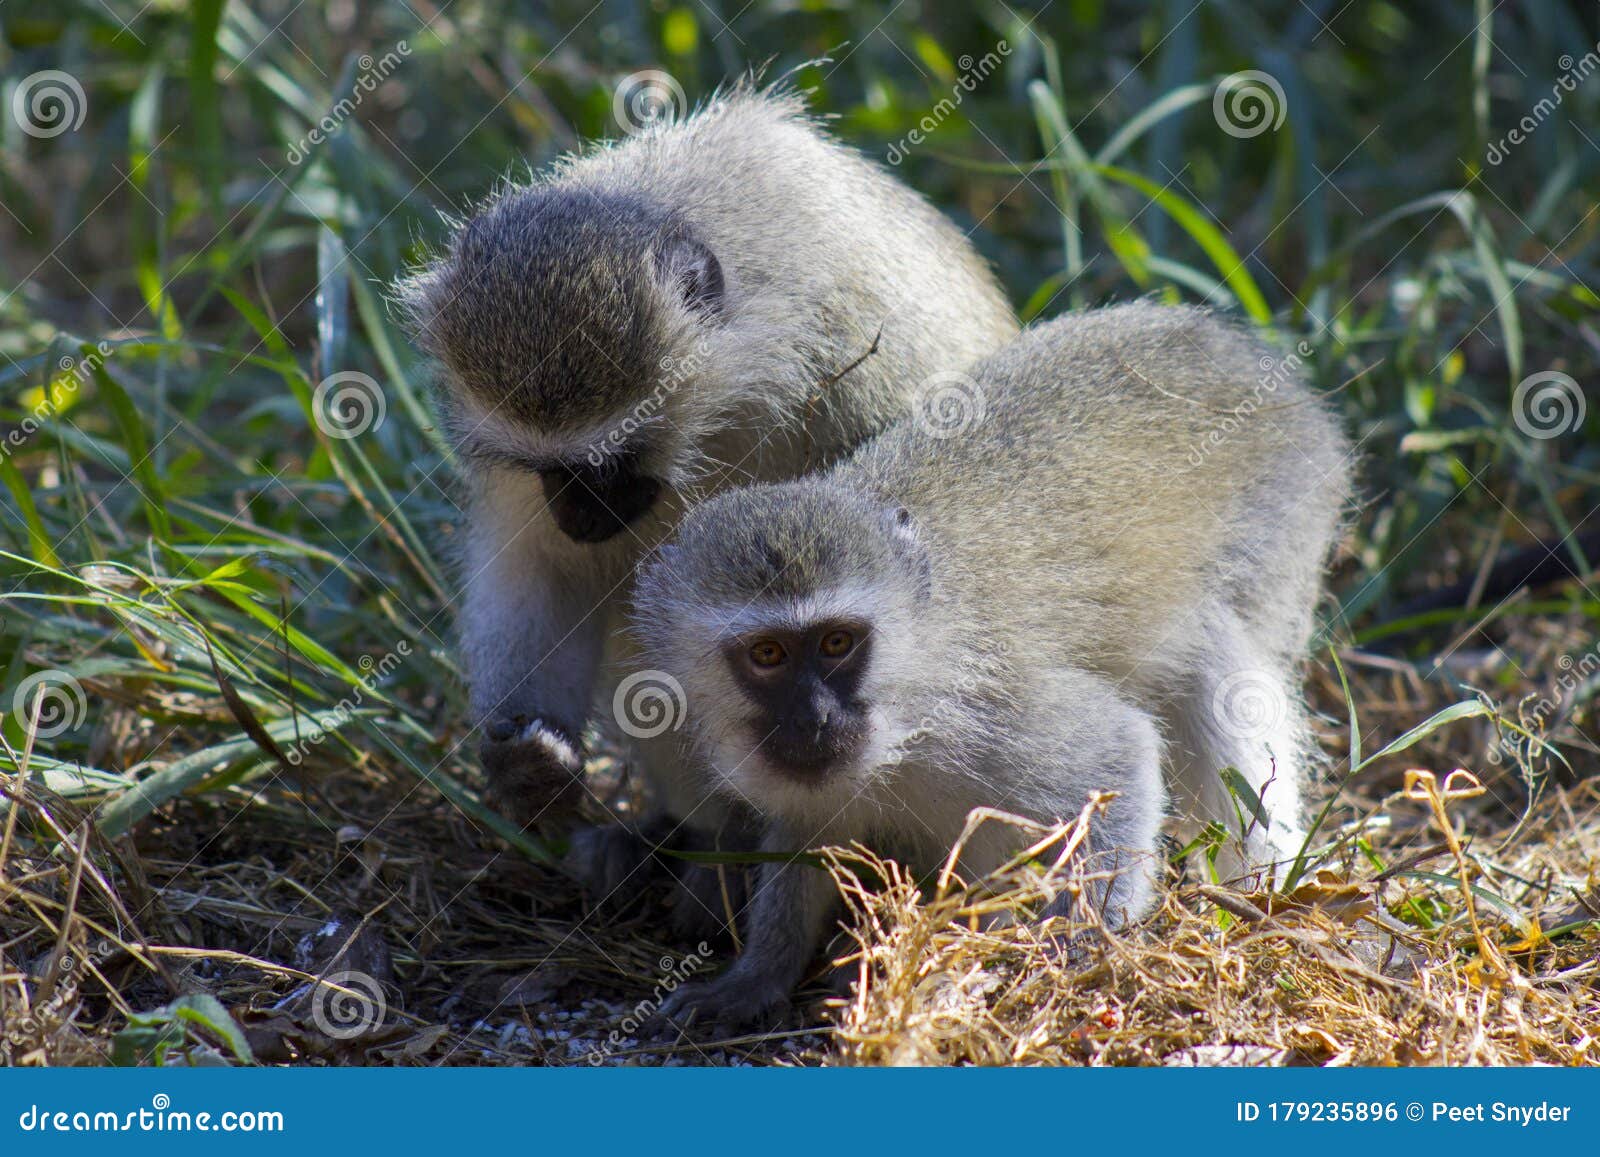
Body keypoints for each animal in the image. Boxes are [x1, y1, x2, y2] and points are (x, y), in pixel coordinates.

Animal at [393, 83, 1018, 862]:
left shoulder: (871, 364)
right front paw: (526, 765)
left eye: (615, 459)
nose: (578, 515)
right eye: (548, 469)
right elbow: (546, 568)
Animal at [630, 303, 1351, 1026]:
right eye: (768, 655)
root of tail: (1225, 344)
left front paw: (1076, 959)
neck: (905, 704)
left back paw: (1262, 893)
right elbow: (807, 837)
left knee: (1218, 662)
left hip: (1283, 511)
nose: (814, 717)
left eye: (837, 644)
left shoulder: (985, 709)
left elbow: (1118, 753)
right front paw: (757, 974)